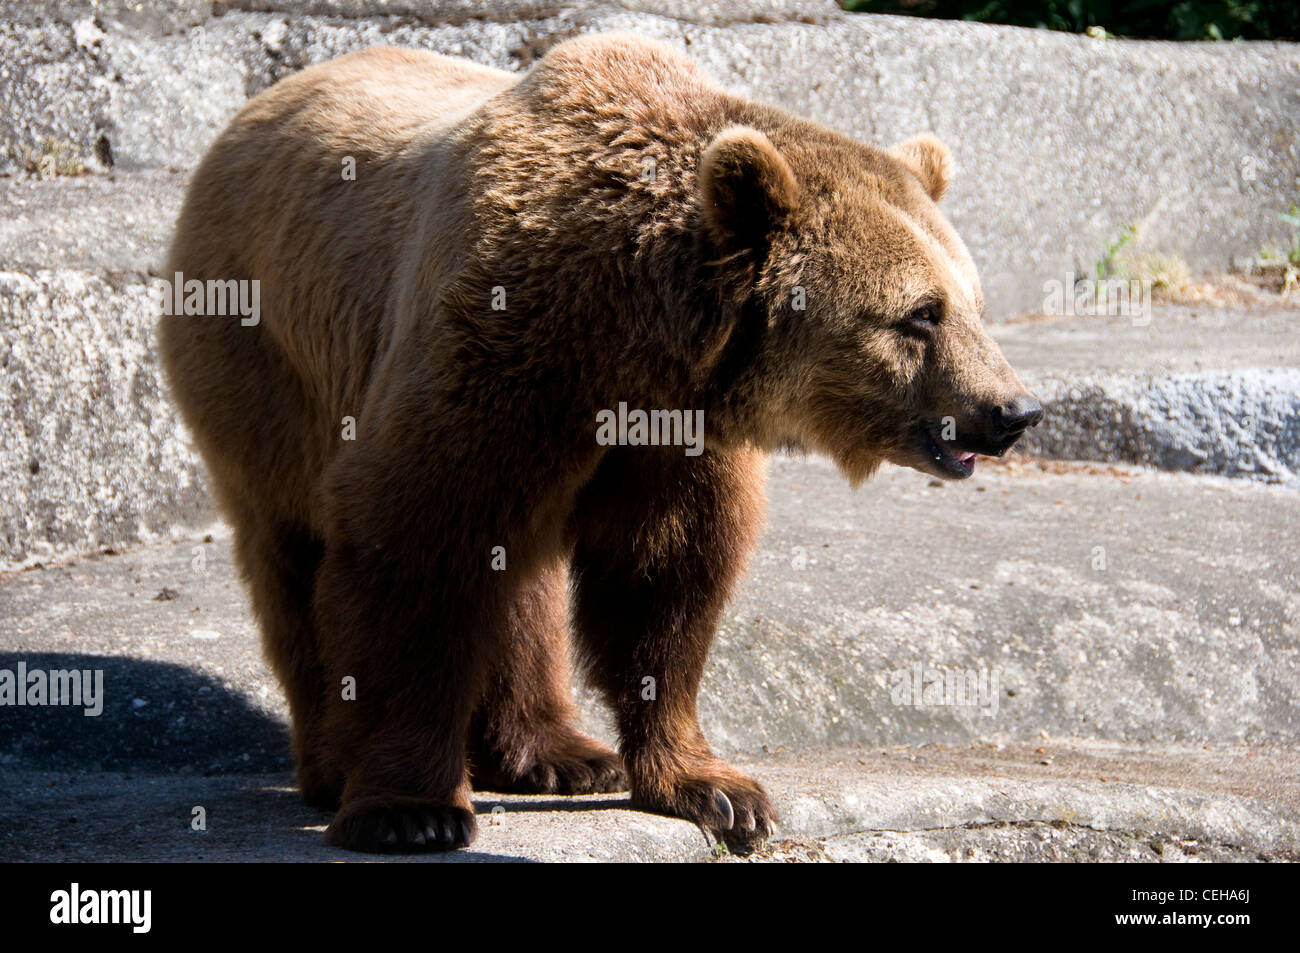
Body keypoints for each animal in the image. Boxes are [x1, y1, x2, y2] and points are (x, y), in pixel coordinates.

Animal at [158, 33, 1042, 853]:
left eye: (973, 302)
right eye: (920, 313)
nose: (1014, 409)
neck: (625, 338)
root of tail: (252, 113)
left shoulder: (671, 437)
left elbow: (666, 577)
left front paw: (716, 788)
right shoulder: (495, 357)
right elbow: (414, 538)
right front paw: (409, 807)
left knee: (522, 582)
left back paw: (557, 751)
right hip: (267, 358)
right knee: (294, 548)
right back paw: (335, 764)